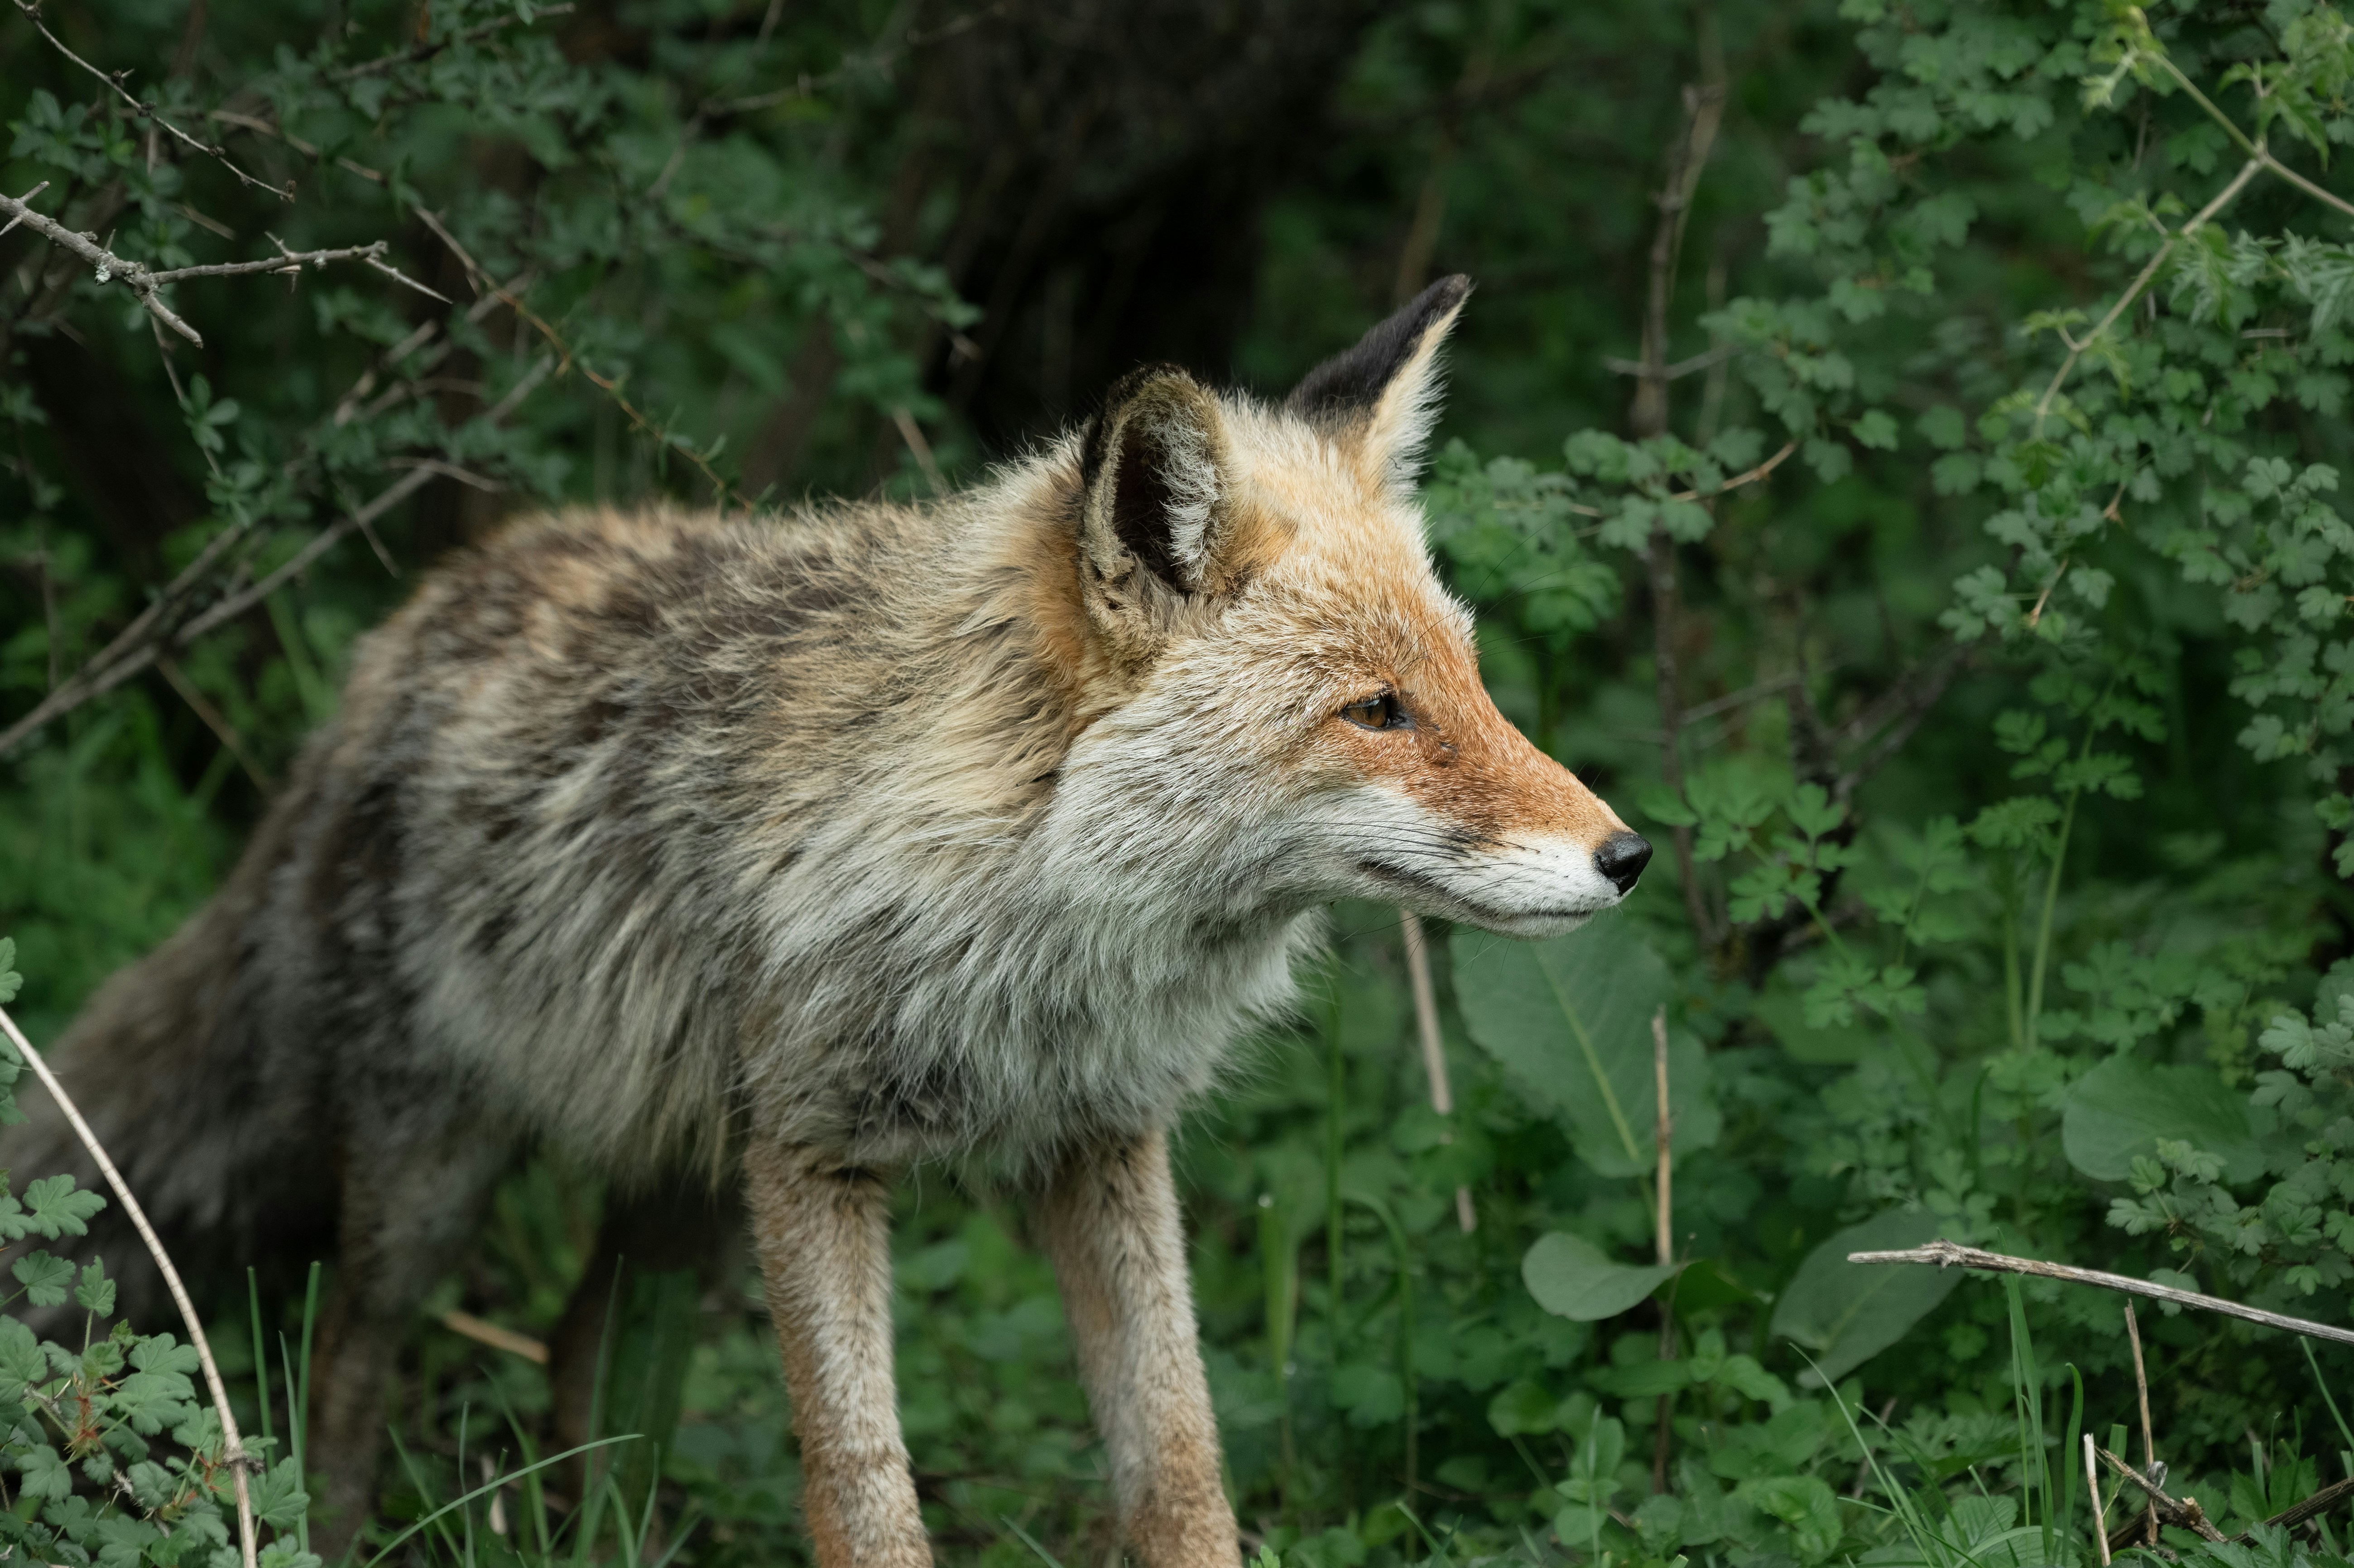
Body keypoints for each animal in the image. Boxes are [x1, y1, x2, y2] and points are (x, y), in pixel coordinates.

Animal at [9, 275, 1650, 1568]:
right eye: (1374, 711)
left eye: (1468, 680)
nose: (1626, 854)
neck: (1027, 931)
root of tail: (410, 624)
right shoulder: (814, 1157)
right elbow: (864, 1496)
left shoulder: (1099, 1143)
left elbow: (1180, 1470)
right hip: (443, 1171)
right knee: (346, 1358)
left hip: (685, 1186)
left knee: (575, 1354)